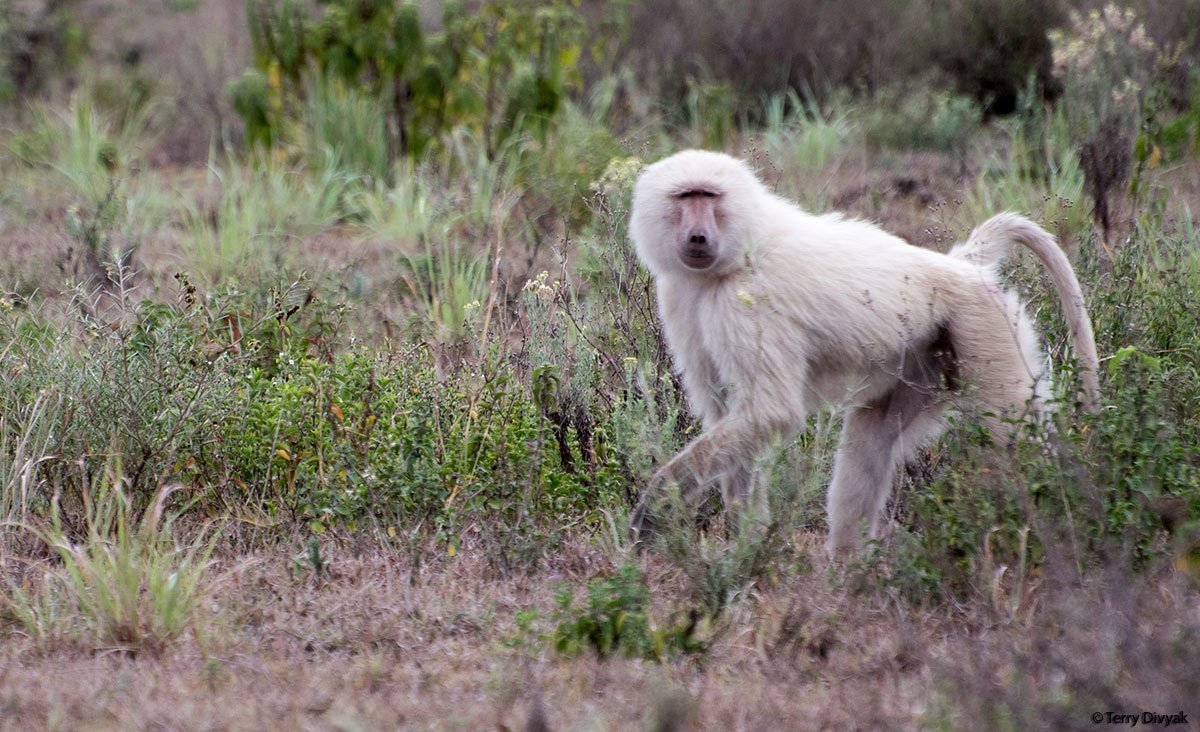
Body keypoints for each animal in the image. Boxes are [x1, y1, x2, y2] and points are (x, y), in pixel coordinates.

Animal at [627, 149, 1100, 554]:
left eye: (708, 196)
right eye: (684, 197)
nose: (698, 237)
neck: (738, 247)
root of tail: (961, 266)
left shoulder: (745, 304)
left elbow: (770, 411)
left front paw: (654, 506)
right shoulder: (682, 298)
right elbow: (733, 418)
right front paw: (747, 550)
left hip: (984, 325)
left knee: (1013, 434)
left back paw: (1074, 516)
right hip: (924, 360)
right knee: (871, 441)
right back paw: (847, 577)